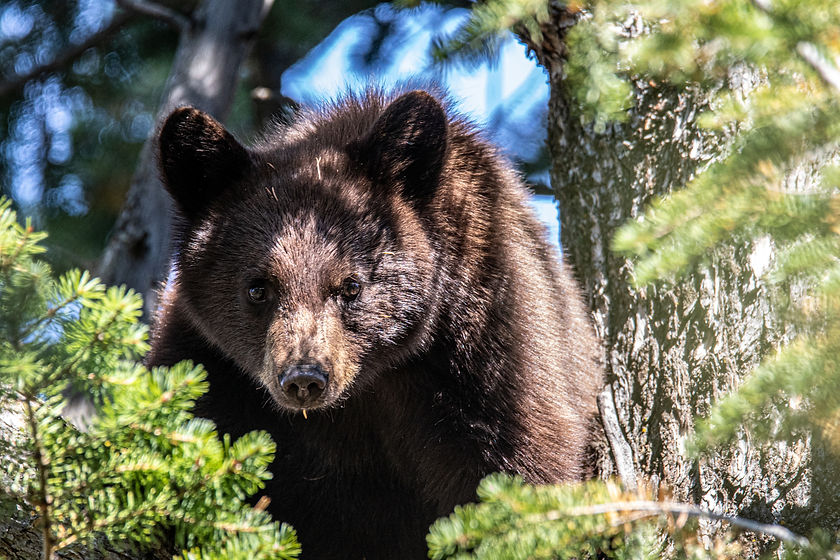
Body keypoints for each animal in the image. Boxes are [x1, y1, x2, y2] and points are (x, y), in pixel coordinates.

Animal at [146, 88, 603, 559]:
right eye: (258, 288)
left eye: (351, 285)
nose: (305, 378)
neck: (364, 391)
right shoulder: (211, 369)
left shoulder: (493, 346)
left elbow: (517, 470)